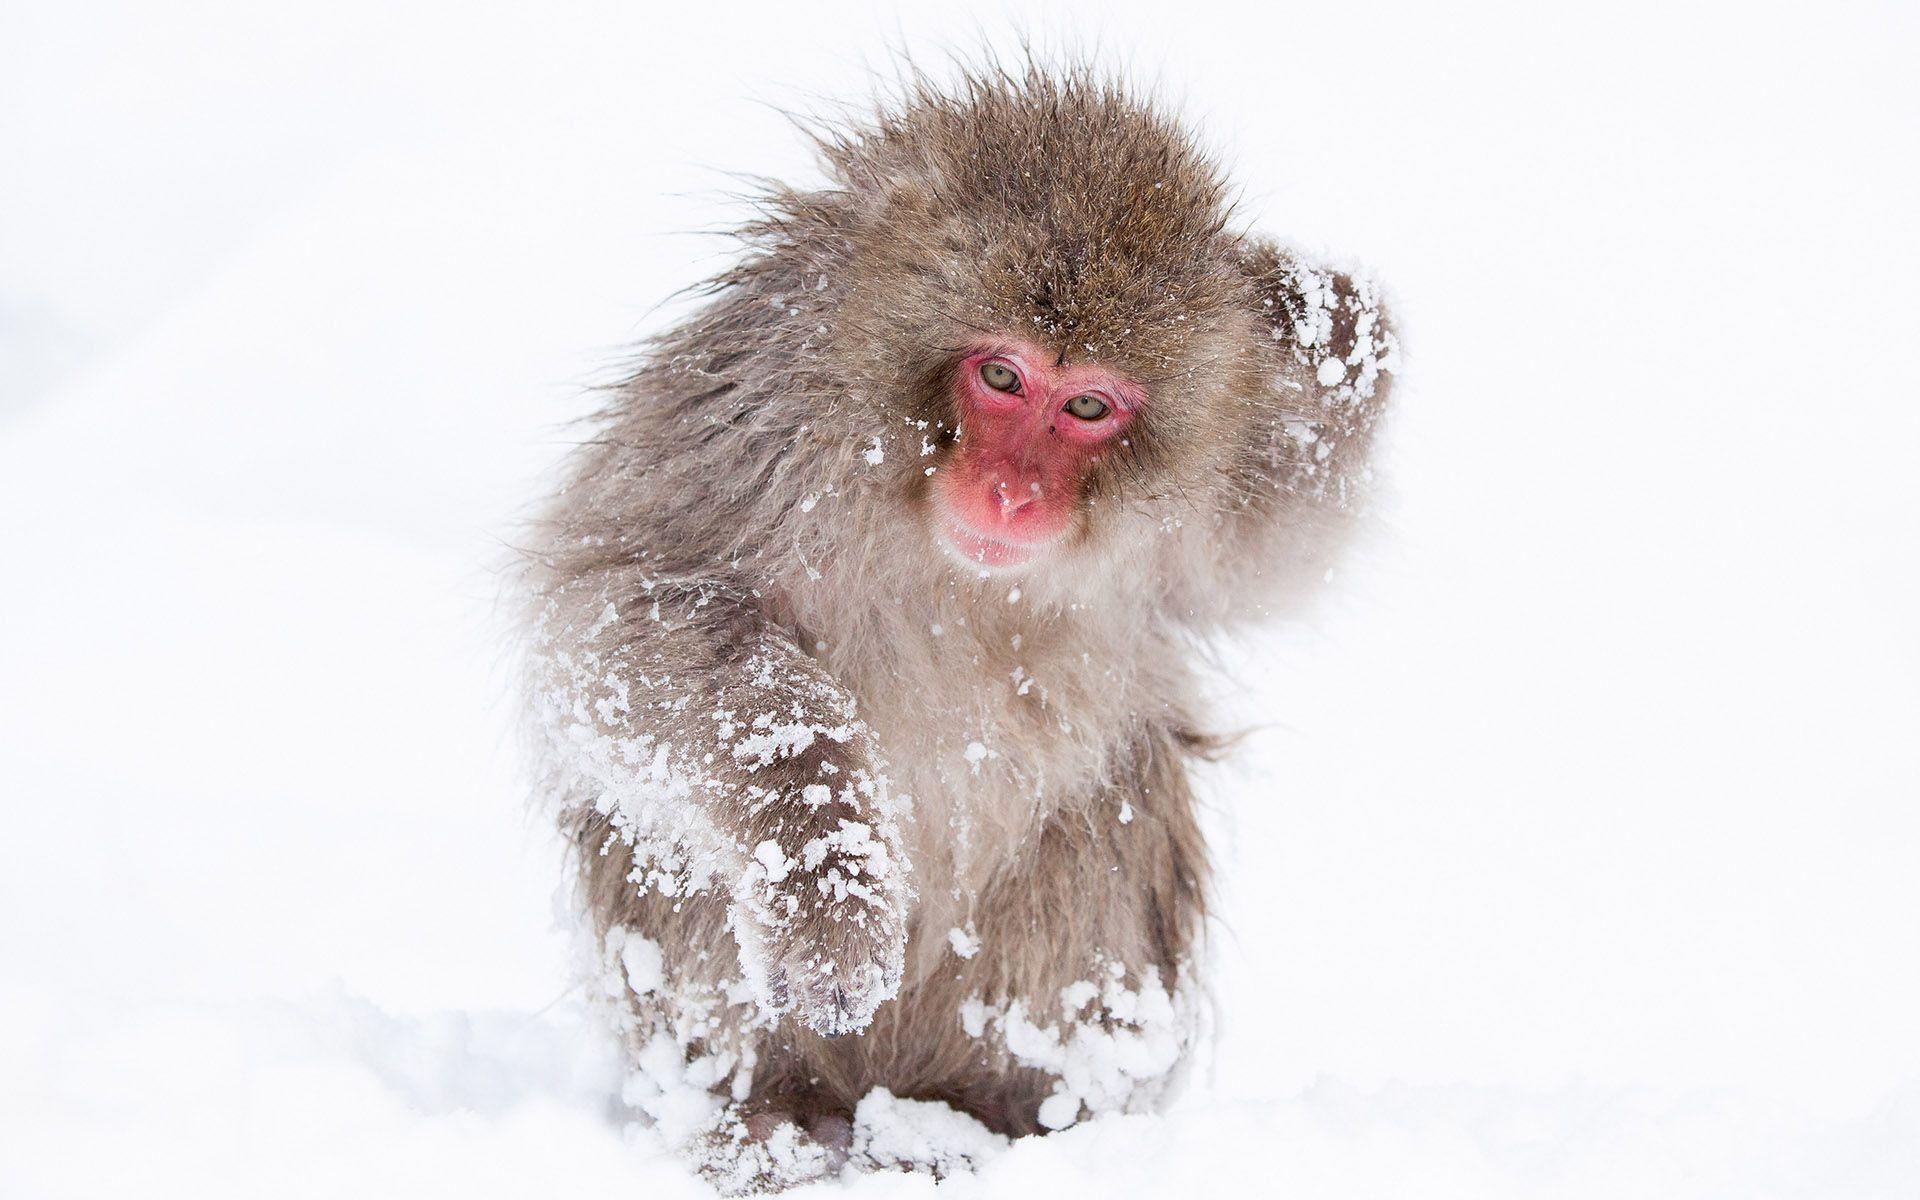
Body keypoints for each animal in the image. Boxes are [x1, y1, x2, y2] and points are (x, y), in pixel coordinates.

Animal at [521, 63, 1395, 1193]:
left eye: (1089, 407)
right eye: (1001, 376)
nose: (1012, 493)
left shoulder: (1206, 495)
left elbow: (1269, 565)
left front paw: (1337, 333)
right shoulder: (758, 417)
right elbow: (618, 614)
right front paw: (826, 871)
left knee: (1100, 825)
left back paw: (988, 1125)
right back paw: (755, 1122)